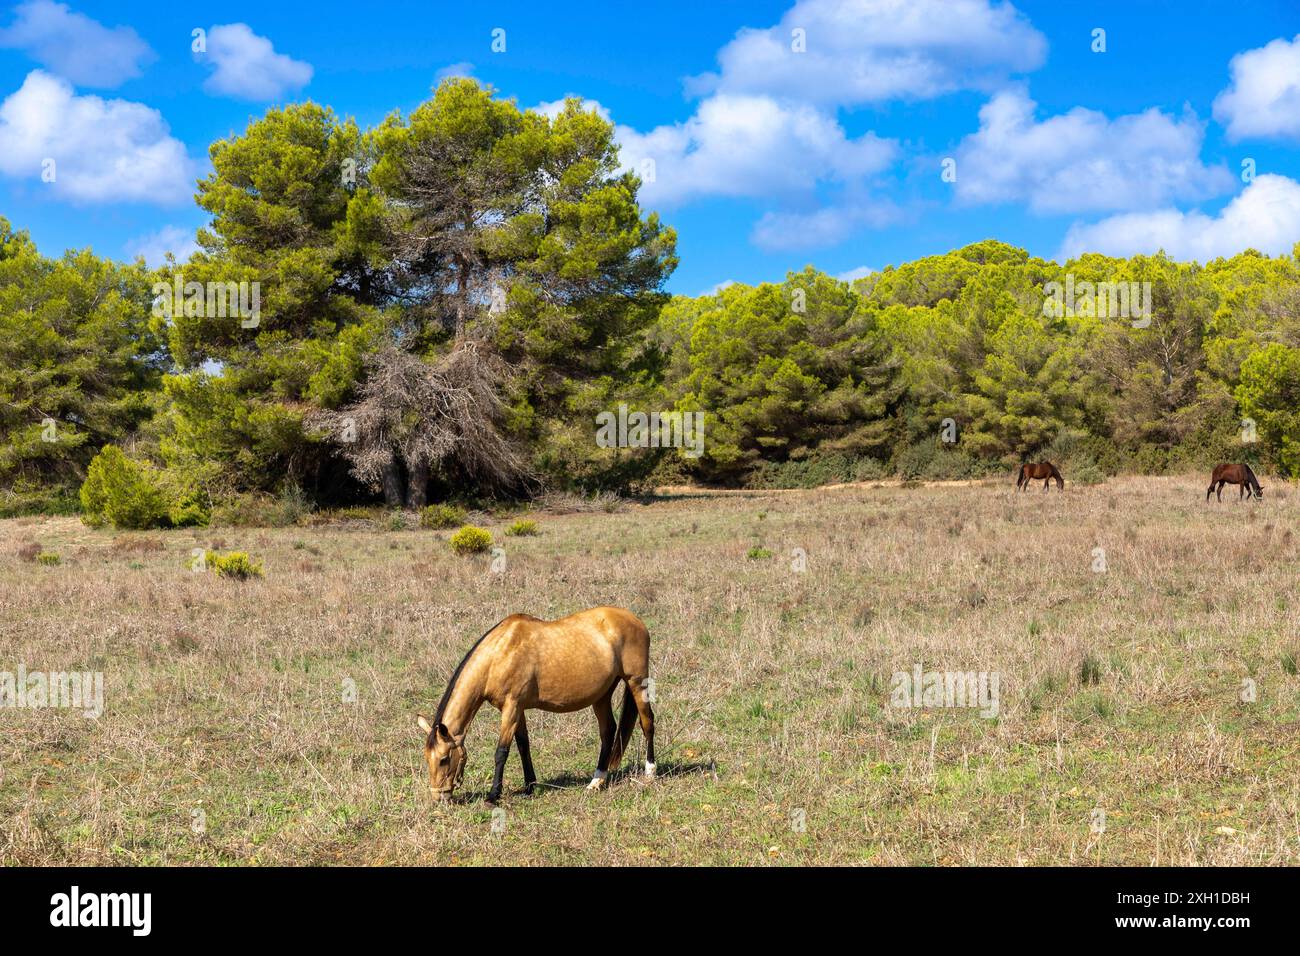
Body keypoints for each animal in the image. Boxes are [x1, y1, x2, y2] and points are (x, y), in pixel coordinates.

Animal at [415, 606, 656, 804]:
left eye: (444, 759)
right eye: (427, 758)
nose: (439, 798)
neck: (499, 654)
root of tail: (636, 621)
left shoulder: (511, 708)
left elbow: (502, 751)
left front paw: (493, 795)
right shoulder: (518, 709)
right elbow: (523, 746)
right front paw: (529, 786)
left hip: (637, 683)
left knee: (647, 723)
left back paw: (650, 772)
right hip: (602, 695)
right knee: (608, 731)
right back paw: (596, 782)